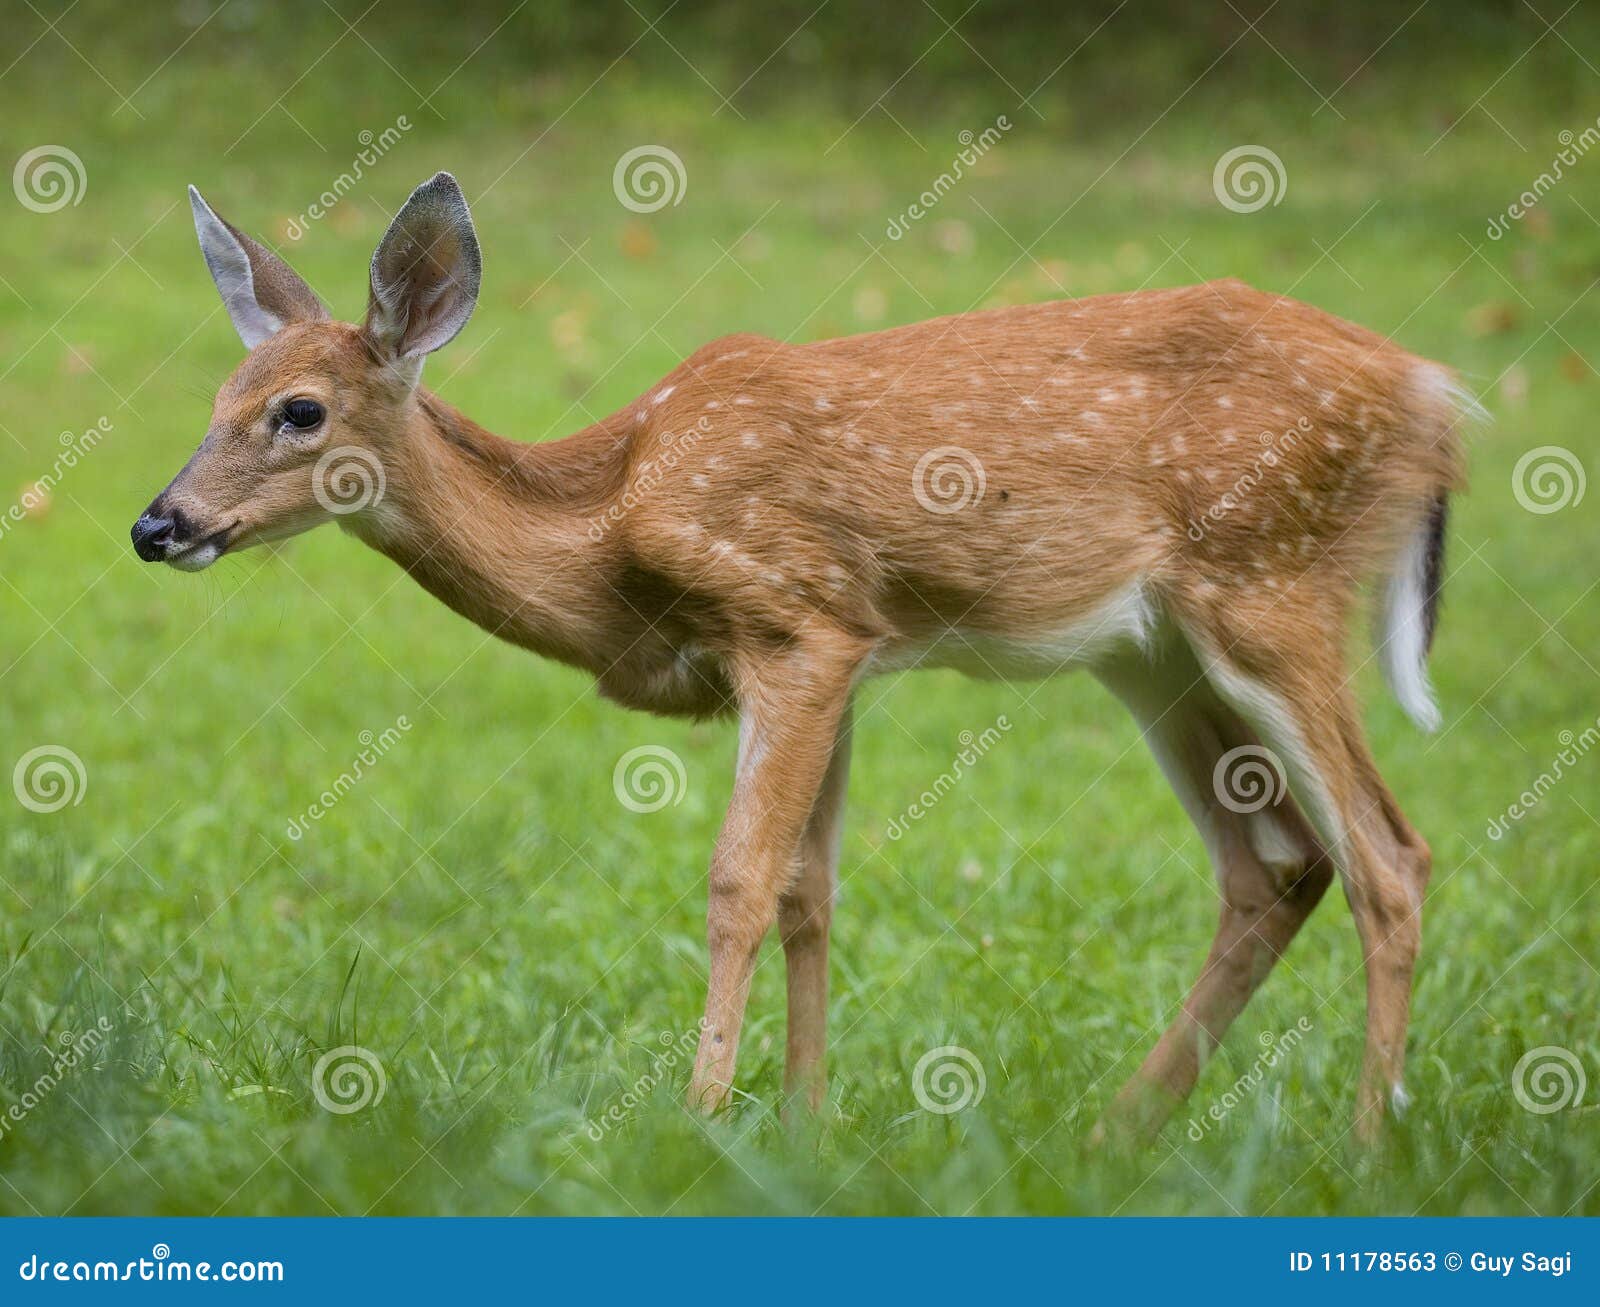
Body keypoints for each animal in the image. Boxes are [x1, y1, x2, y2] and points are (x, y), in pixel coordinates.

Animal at [132, 171, 1470, 1145]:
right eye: (216, 395)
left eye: (299, 410)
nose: (159, 524)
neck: (612, 521)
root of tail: (1433, 393)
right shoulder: (839, 657)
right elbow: (808, 892)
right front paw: (802, 1123)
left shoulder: (796, 622)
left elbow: (737, 878)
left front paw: (701, 1113)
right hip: (1152, 651)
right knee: (1277, 864)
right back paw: (1118, 1131)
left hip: (1269, 585)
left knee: (1389, 855)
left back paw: (1362, 1142)